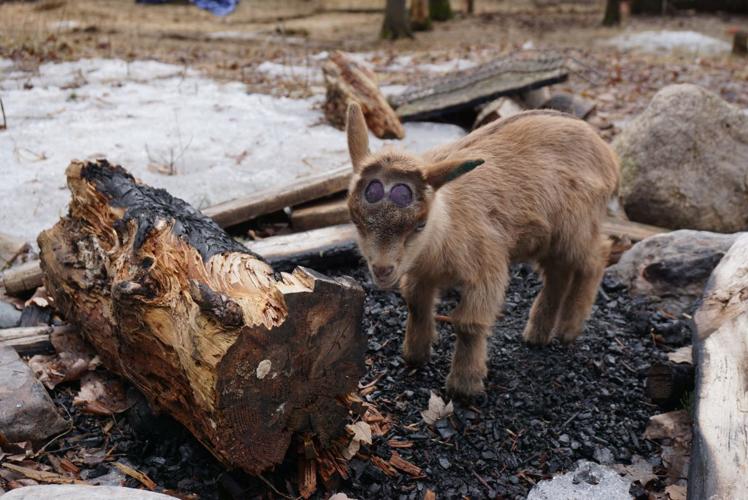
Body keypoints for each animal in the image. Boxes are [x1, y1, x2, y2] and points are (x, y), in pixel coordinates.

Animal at [345, 102, 620, 398]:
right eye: (355, 220)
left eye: (419, 224)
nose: (382, 270)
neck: (445, 227)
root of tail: (606, 151)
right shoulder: (421, 272)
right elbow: (417, 305)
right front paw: (415, 357)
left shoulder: (486, 264)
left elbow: (469, 323)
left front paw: (464, 387)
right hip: (549, 238)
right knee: (558, 274)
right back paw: (538, 335)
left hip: (578, 228)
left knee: (596, 257)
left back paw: (569, 329)